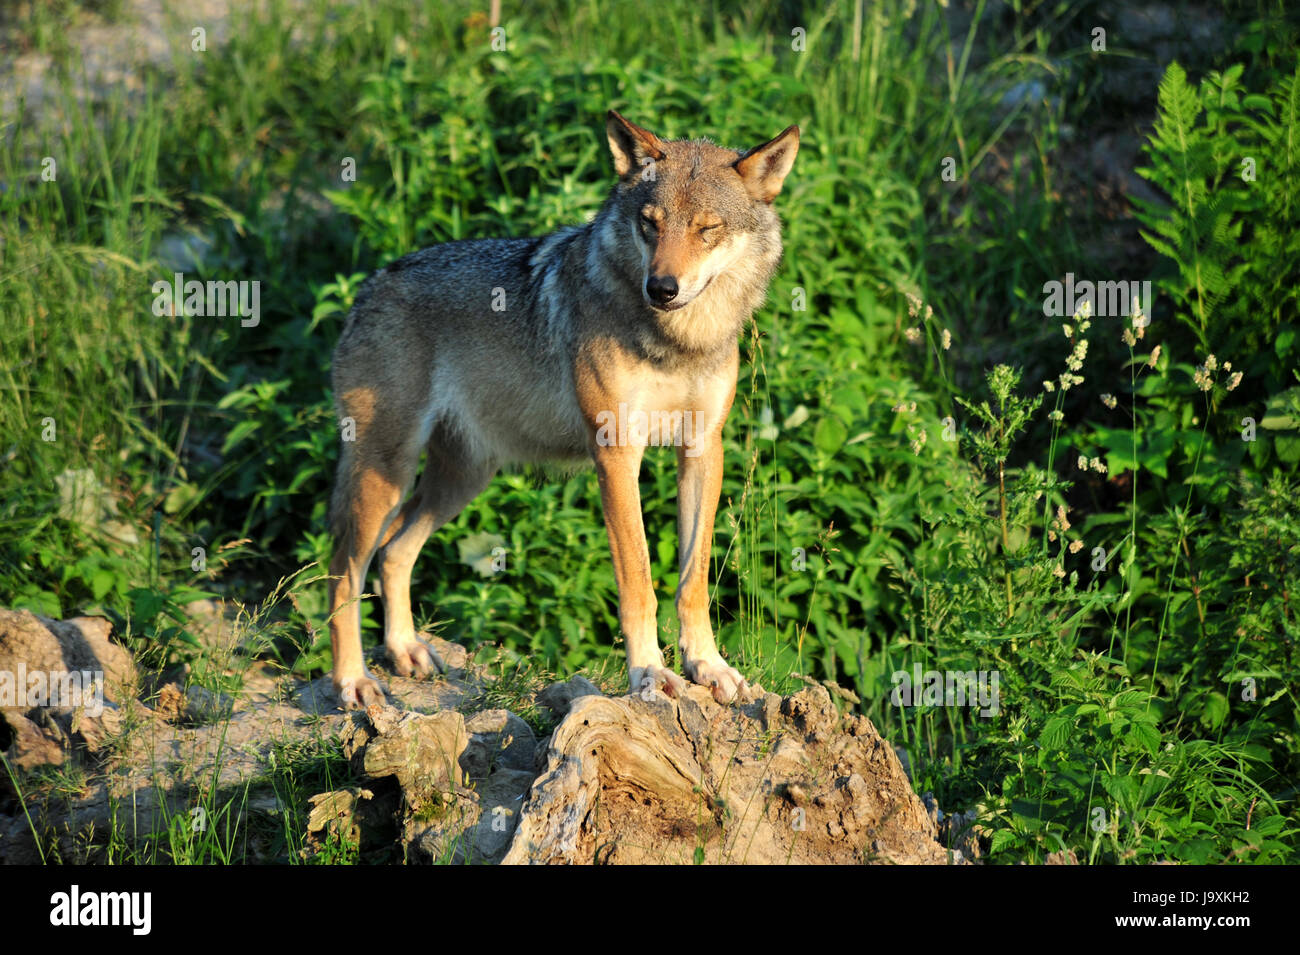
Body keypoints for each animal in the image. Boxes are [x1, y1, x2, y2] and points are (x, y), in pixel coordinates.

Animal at [327, 109, 798, 710]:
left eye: (707, 228)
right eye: (650, 223)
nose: (662, 288)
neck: (678, 341)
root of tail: (368, 287)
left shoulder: (702, 448)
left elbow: (692, 583)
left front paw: (709, 667)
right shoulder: (617, 454)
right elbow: (639, 583)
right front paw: (650, 674)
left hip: (462, 480)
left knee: (393, 553)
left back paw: (405, 650)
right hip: (387, 474)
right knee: (343, 571)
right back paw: (353, 681)